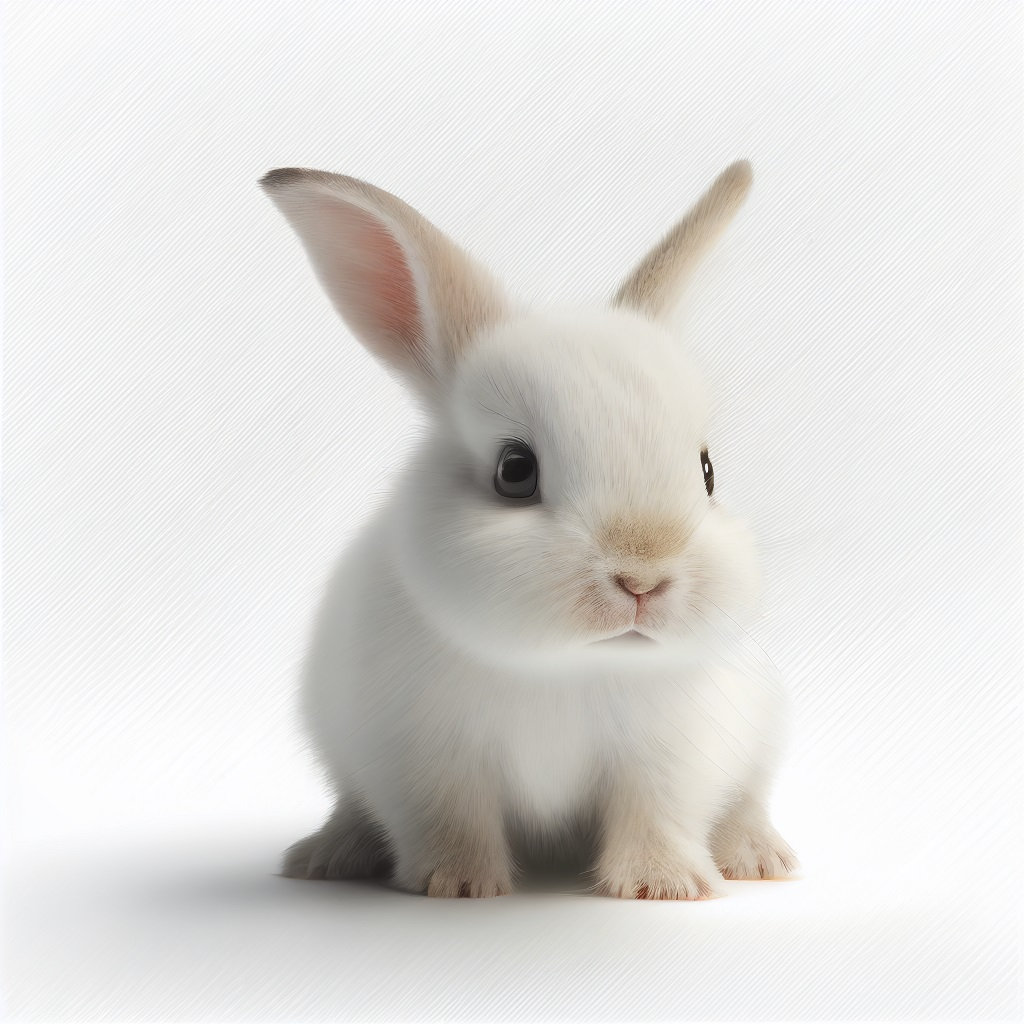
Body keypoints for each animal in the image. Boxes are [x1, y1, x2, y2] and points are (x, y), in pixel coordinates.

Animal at [261, 159, 797, 899]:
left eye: (708, 470)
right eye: (514, 471)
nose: (643, 578)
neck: (566, 666)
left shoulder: (670, 755)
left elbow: (656, 816)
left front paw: (664, 885)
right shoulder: (422, 757)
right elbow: (450, 819)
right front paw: (457, 885)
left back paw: (759, 858)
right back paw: (327, 856)